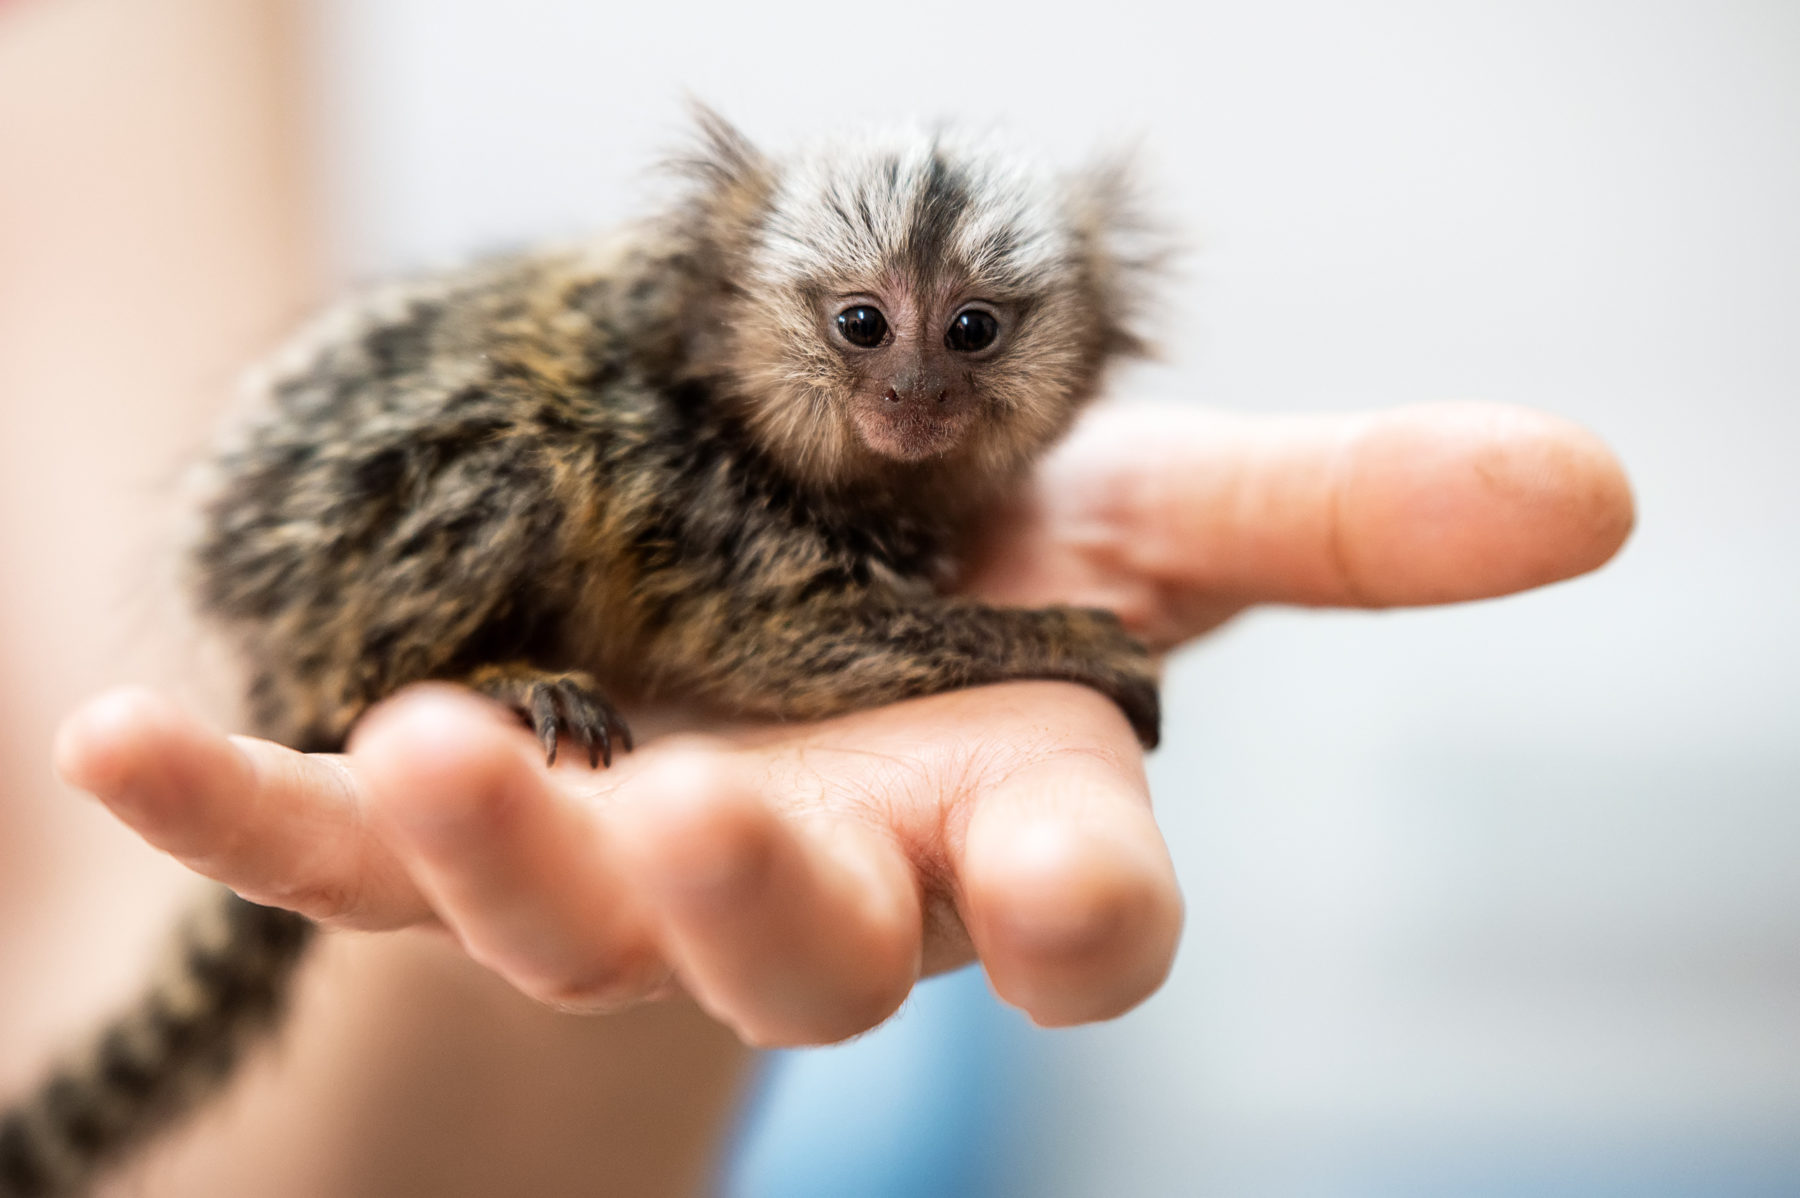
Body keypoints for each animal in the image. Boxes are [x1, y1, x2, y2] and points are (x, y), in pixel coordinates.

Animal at [0, 109, 1165, 1196]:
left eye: (971, 330)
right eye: (863, 324)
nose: (915, 395)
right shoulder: (708, 507)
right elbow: (778, 642)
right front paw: (1067, 638)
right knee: (507, 473)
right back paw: (496, 683)